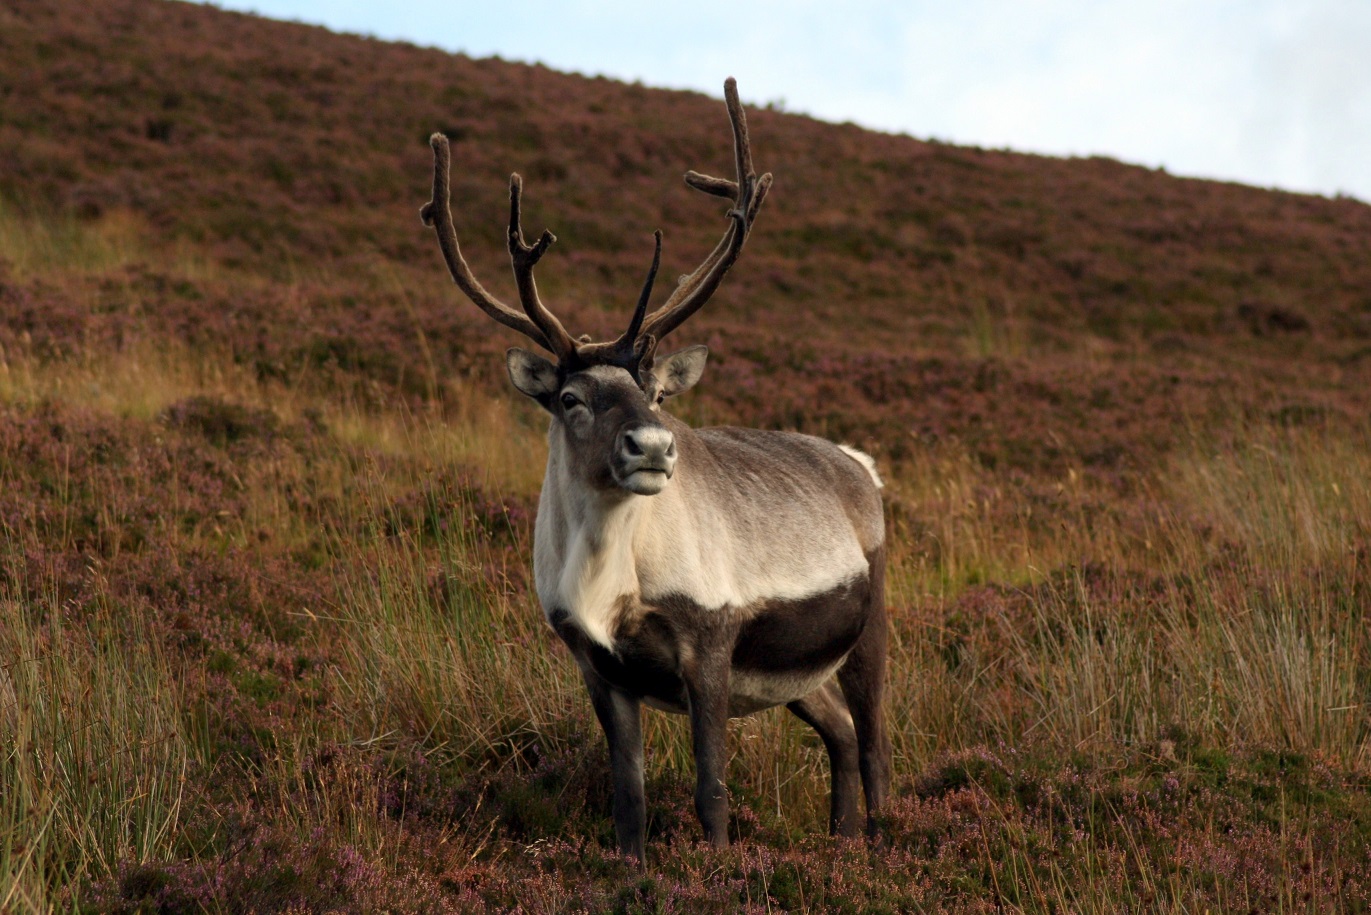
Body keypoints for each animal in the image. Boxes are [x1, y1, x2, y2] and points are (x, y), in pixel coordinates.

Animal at [420, 78, 890, 862]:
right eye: (571, 398)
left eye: (657, 393)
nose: (653, 447)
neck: (610, 577)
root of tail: (862, 466)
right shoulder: (597, 665)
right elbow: (628, 797)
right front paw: (634, 869)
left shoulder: (709, 645)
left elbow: (711, 792)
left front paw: (719, 866)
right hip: (797, 675)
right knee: (843, 737)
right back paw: (843, 846)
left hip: (869, 627)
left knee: (876, 743)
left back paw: (879, 847)